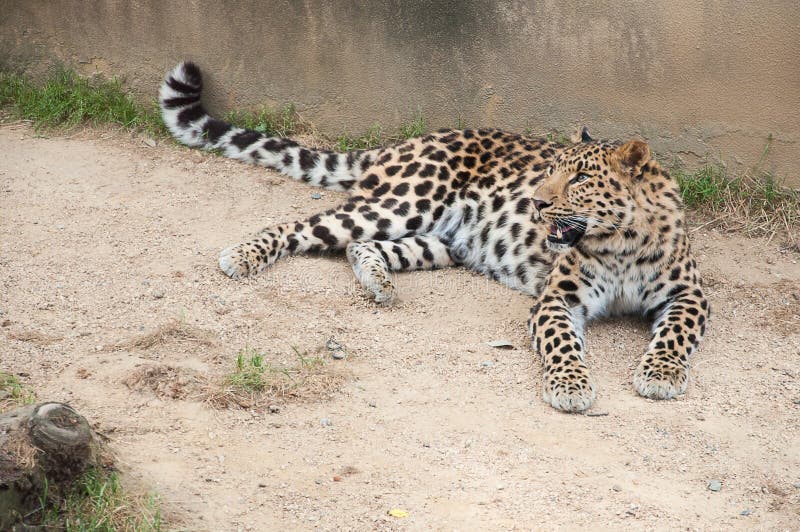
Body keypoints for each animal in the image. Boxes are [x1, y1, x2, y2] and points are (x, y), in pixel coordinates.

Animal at [159, 62, 709, 412]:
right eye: (552, 169)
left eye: (579, 179)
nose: (535, 201)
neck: (619, 242)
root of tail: (404, 142)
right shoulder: (558, 298)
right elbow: (562, 343)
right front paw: (570, 387)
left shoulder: (690, 294)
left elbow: (674, 334)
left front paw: (660, 375)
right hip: (405, 202)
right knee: (305, 226)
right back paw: (243, 255)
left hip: (443, 240)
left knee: (359, 245)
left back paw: (379, 284)